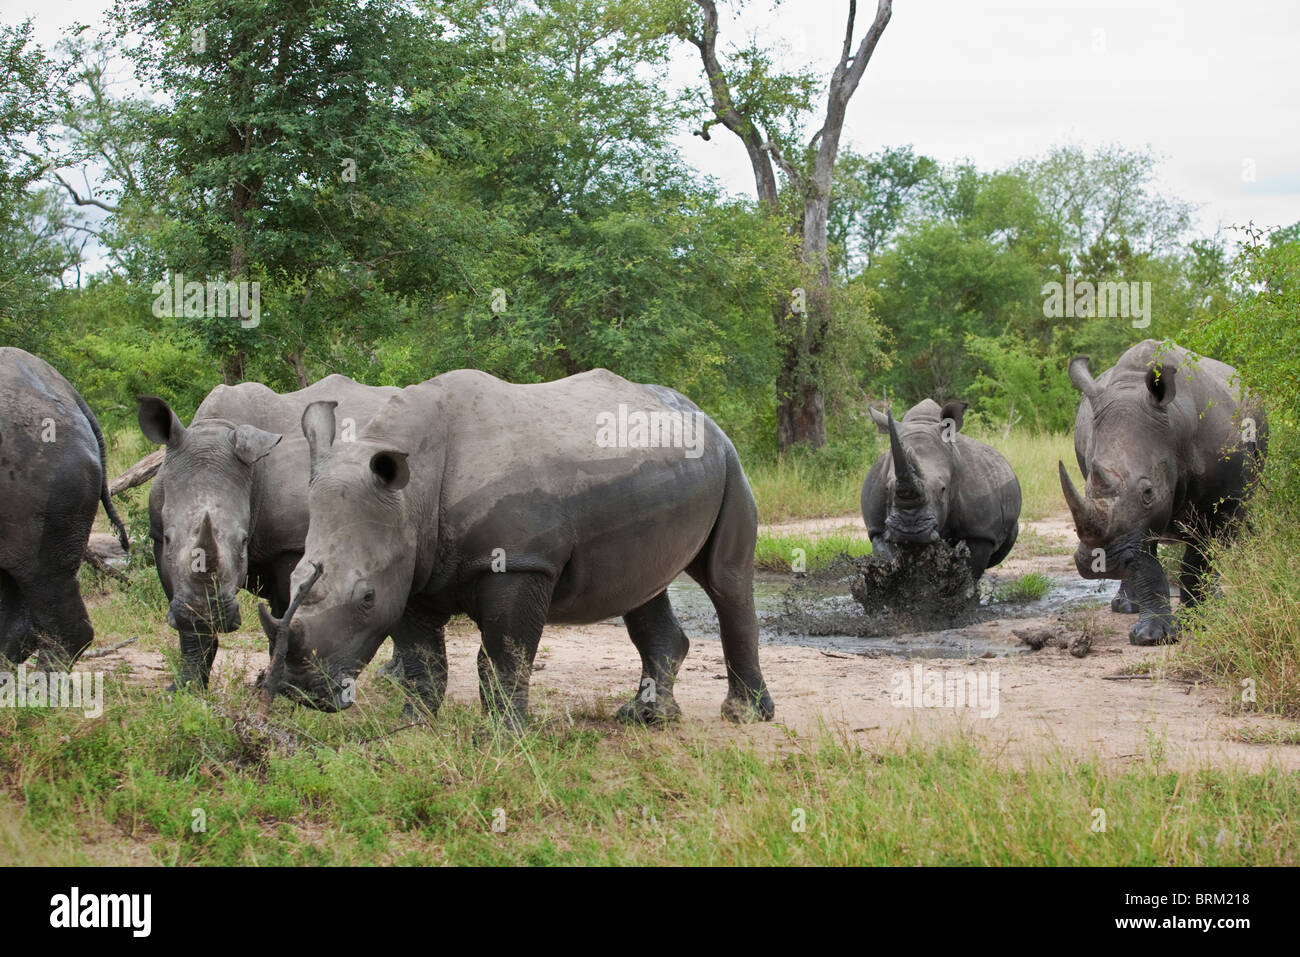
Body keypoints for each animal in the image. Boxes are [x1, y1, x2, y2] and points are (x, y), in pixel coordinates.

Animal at [137, 375, 399, 688]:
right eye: (168, 537)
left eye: (243, 542)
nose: (205, 614)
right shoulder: (157, 536)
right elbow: (190, 632)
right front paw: (185, 688)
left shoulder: (292, 544)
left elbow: (286, 615)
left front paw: (277, 686)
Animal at [258, 368, 775, 729]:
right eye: (295, 577)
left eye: (364, 598)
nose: (299, 691)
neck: (412, 494)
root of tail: (702, 414)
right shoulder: (408, 572)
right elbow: (424, 659)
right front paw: (411, 726)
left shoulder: (520, 564)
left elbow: (506, 653)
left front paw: (505, 735)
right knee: (642, 589)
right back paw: (646, 718)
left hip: (730, 462)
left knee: (726, 582)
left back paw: (745, 715)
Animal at [861, 398, 1021, 581]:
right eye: (887, 488)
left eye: (943, 489)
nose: (910, 531)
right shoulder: (878, 529)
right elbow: (890, 558)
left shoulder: (980, 532)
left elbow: (971, 570)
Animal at [1059, 339, 1266, 645]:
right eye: (1086, 489)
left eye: (1148, 491)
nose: (1098, 563)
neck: (1176, 427)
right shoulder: (1137, 523)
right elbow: (1146, 563)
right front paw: (1152, 637)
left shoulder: (1224, 499)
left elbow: (1199, 558)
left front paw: (1197, 621)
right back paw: (1127, 607)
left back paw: (1213, 601)